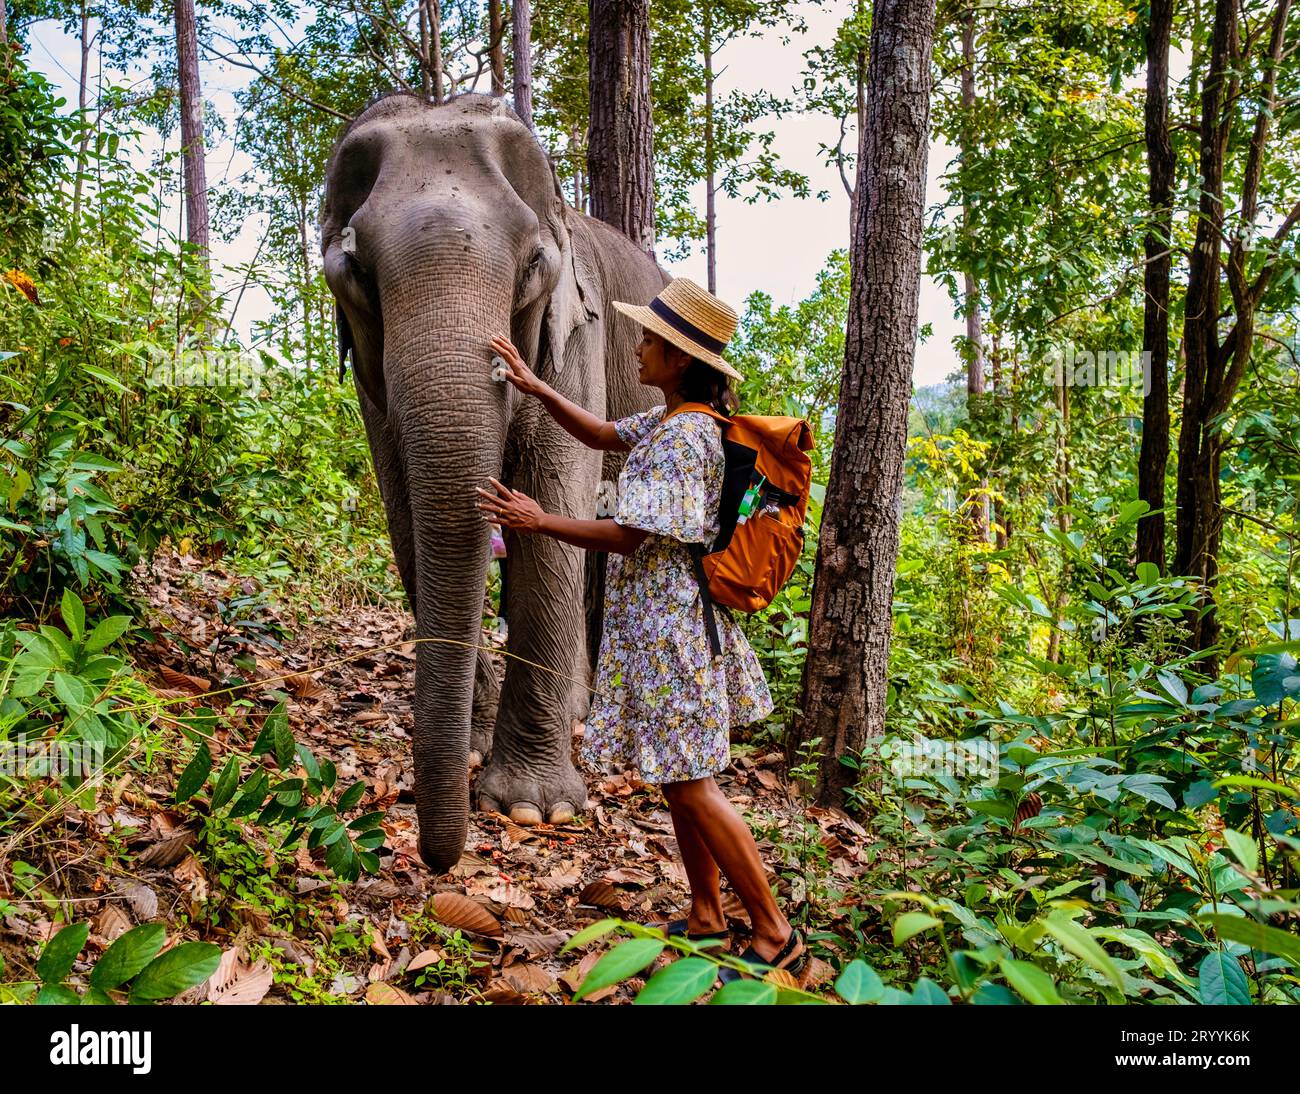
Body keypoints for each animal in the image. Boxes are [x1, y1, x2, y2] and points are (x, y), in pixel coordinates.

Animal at [320, 91, 667, 872]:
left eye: (535, 263)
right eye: (353, 271)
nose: (438, 859)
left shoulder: (575, 341)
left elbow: (555, 509)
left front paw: (535, 808)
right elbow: (409, 518)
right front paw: (477, 755)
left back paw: (584, 716)